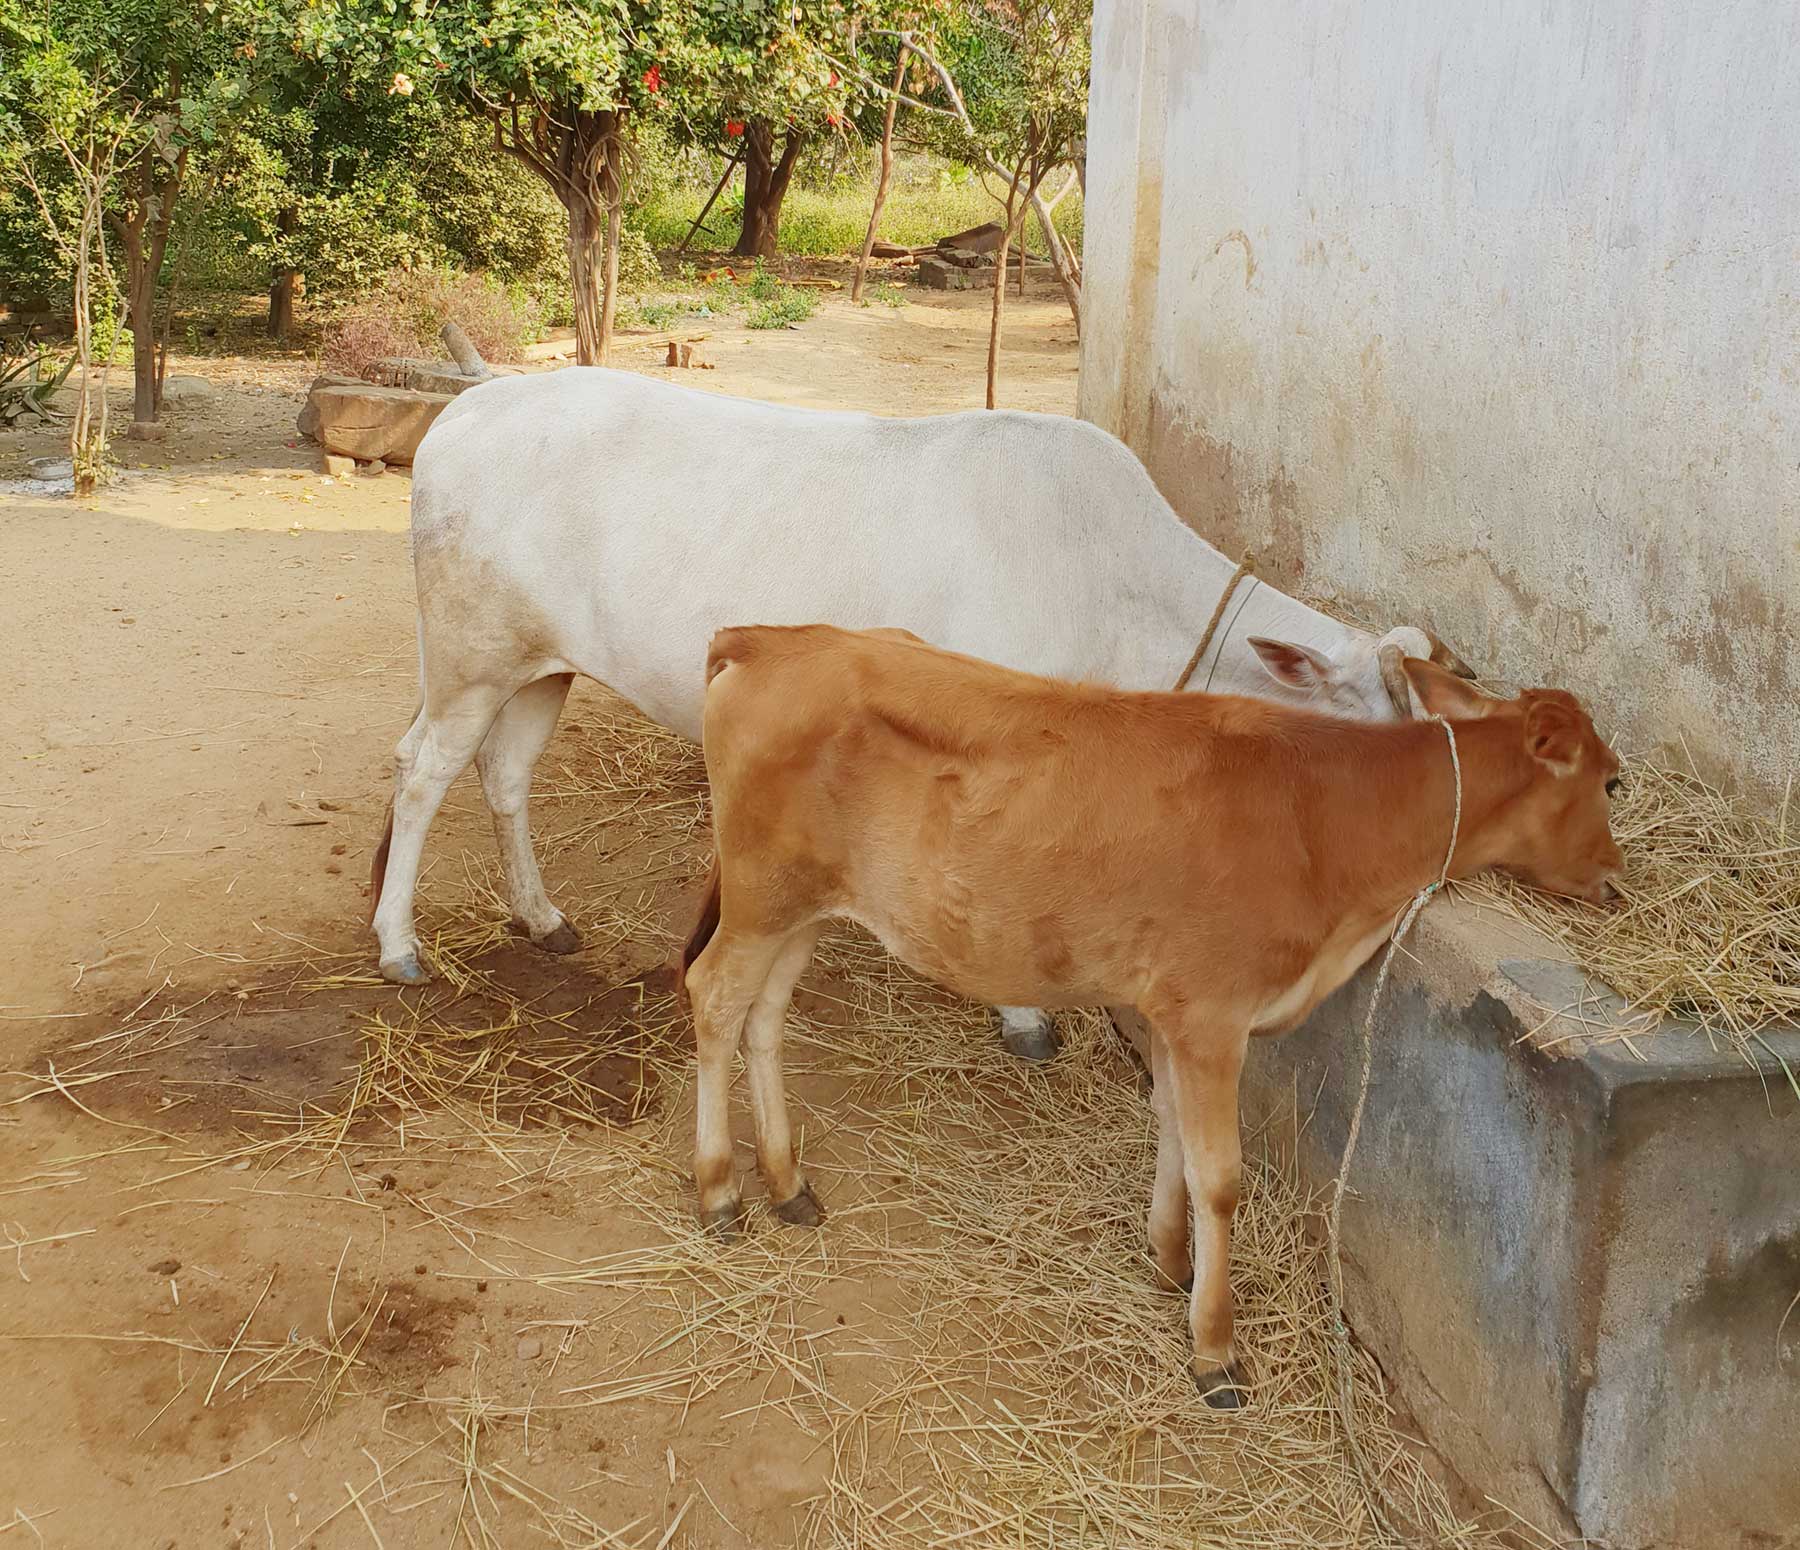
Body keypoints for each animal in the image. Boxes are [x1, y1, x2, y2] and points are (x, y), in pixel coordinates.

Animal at [370, 368, 1467, 1061]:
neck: (1118, 583)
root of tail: (464, 410)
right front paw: (1024, 1019)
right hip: (468, 655)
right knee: (423, 769)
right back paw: (397, 944)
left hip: (537, 665)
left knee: (504, 774)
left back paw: (542, 917)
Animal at [679, 624, 1623, 1408]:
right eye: (1612, 780)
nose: (1616, 876)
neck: (1328, 819)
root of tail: (767, 637)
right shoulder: (1211, 1015)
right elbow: (1222, 1177)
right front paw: (1215, 1349)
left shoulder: (1171, 1011)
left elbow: (1170, 1126)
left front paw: (1168, 1261)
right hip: (763, 894)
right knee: (714, 998)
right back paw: (721, 1190)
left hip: (805, 906)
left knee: (764, 1016)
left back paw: (787, 1182)